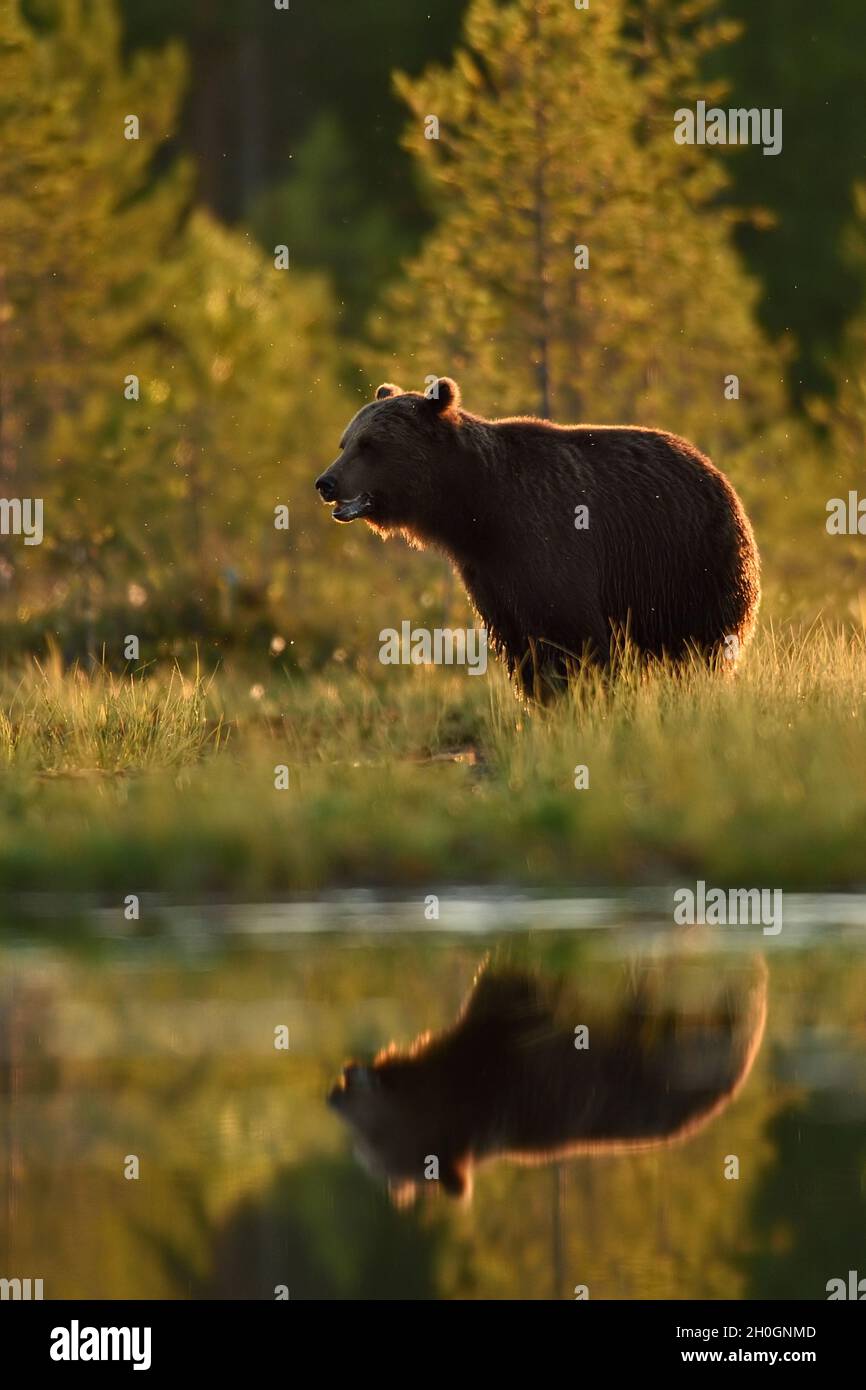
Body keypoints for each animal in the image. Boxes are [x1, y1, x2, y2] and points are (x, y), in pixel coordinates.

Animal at [315, 379, 760, 696]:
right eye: (345, 442)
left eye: (370, 445)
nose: (326, 482)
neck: (477, 516)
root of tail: (716, 472)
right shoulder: (489, 575)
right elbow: (519, 644)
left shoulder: (546, 543)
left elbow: (570, 632)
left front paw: (584, 698)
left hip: (691, 567)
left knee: (700, 649)